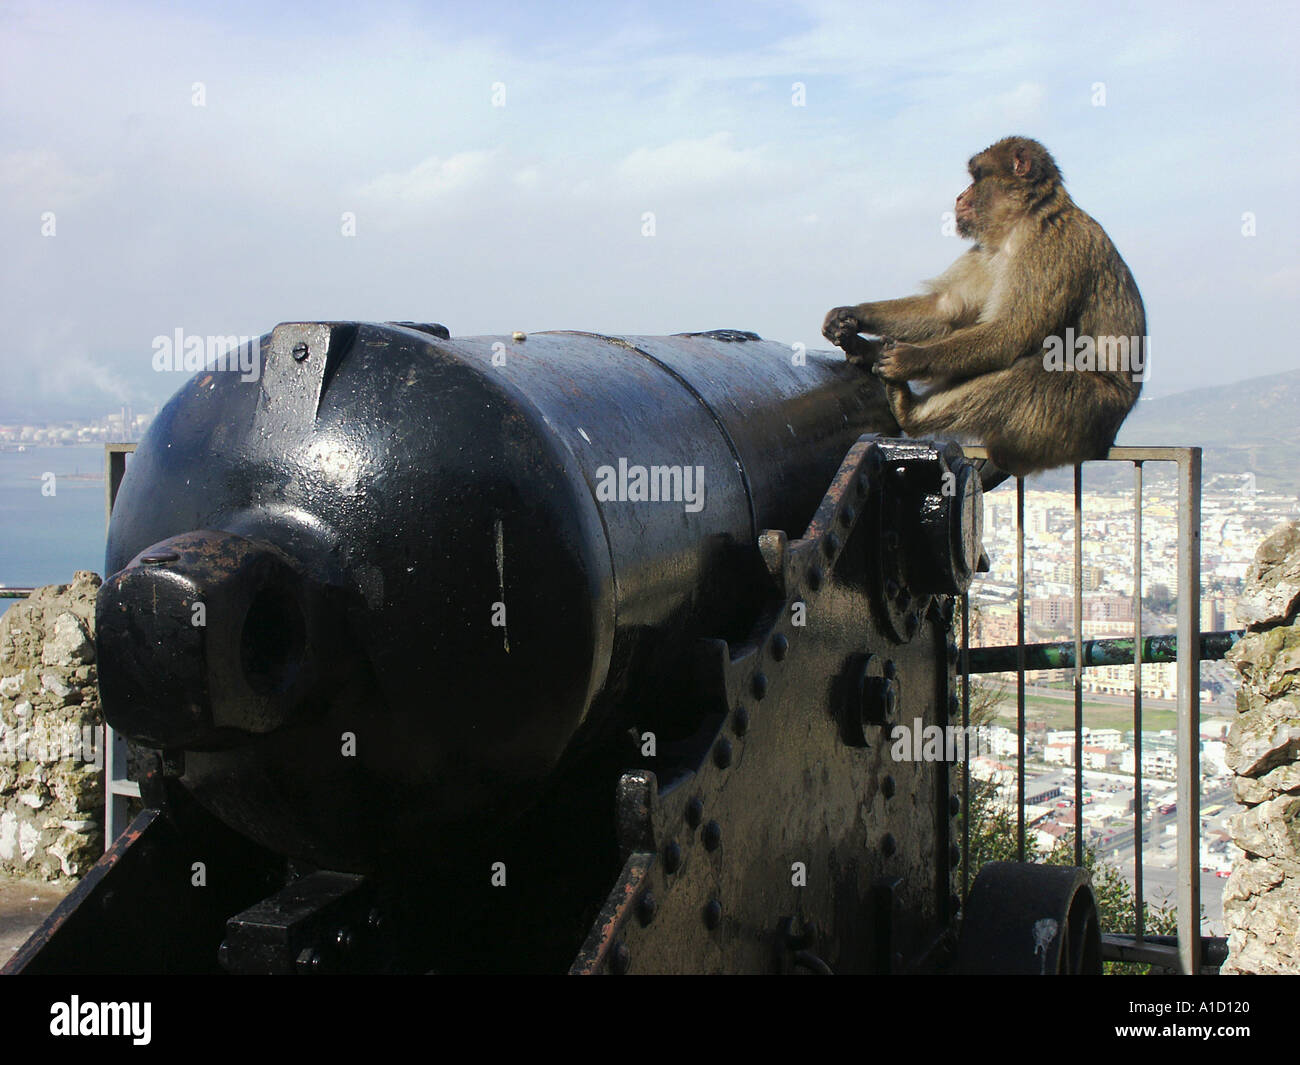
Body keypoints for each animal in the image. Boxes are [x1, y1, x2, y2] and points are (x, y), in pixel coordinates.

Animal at [822, 136, 1145, 480]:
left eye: (976, 177)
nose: (960, 196)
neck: (1023, 222)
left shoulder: (1051, 248)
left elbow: (1012, 333)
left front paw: (908, 359)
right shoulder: (988, 249)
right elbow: (944, 308)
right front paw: (851, 317)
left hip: (1083, 414)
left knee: (1031, 370)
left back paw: (909, 412)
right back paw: (868, 353)